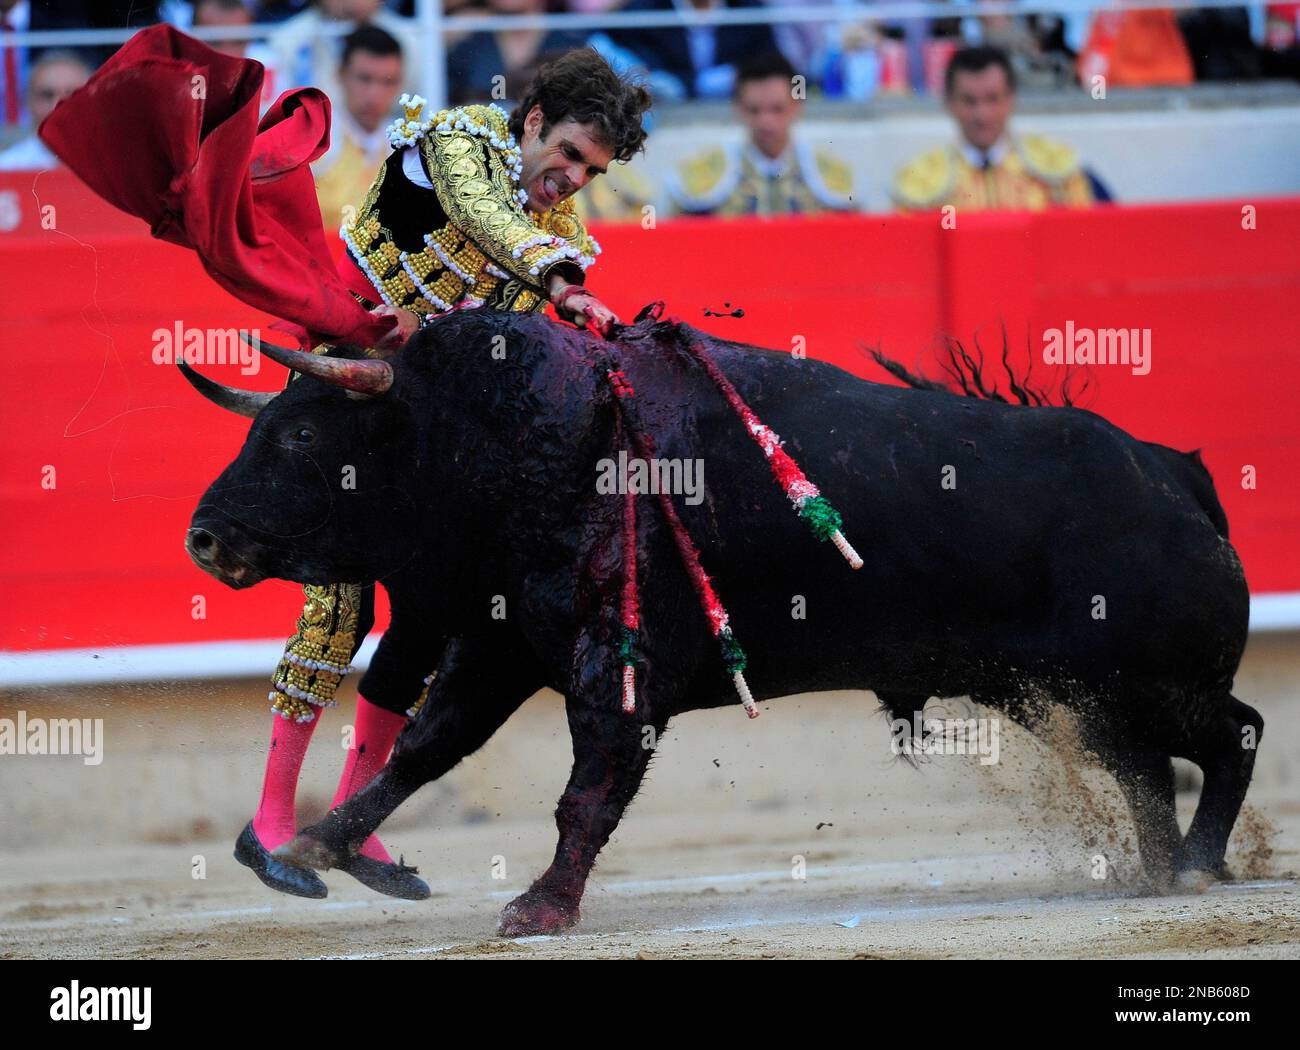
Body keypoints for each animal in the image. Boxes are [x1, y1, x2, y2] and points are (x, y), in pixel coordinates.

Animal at [181, 307, 1262, 937]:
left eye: (303, 435)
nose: (203, 536)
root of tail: (1172, 472)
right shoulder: (499, 647)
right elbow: (423, 750)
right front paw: (316, 844)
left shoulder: (616, 667)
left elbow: (585, 792)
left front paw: (539, 908)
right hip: (1061, 693)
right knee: (1146, 770)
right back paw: (1158, 874)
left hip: (1146, 680)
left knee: (1233, 734)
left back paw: (1194, 868)